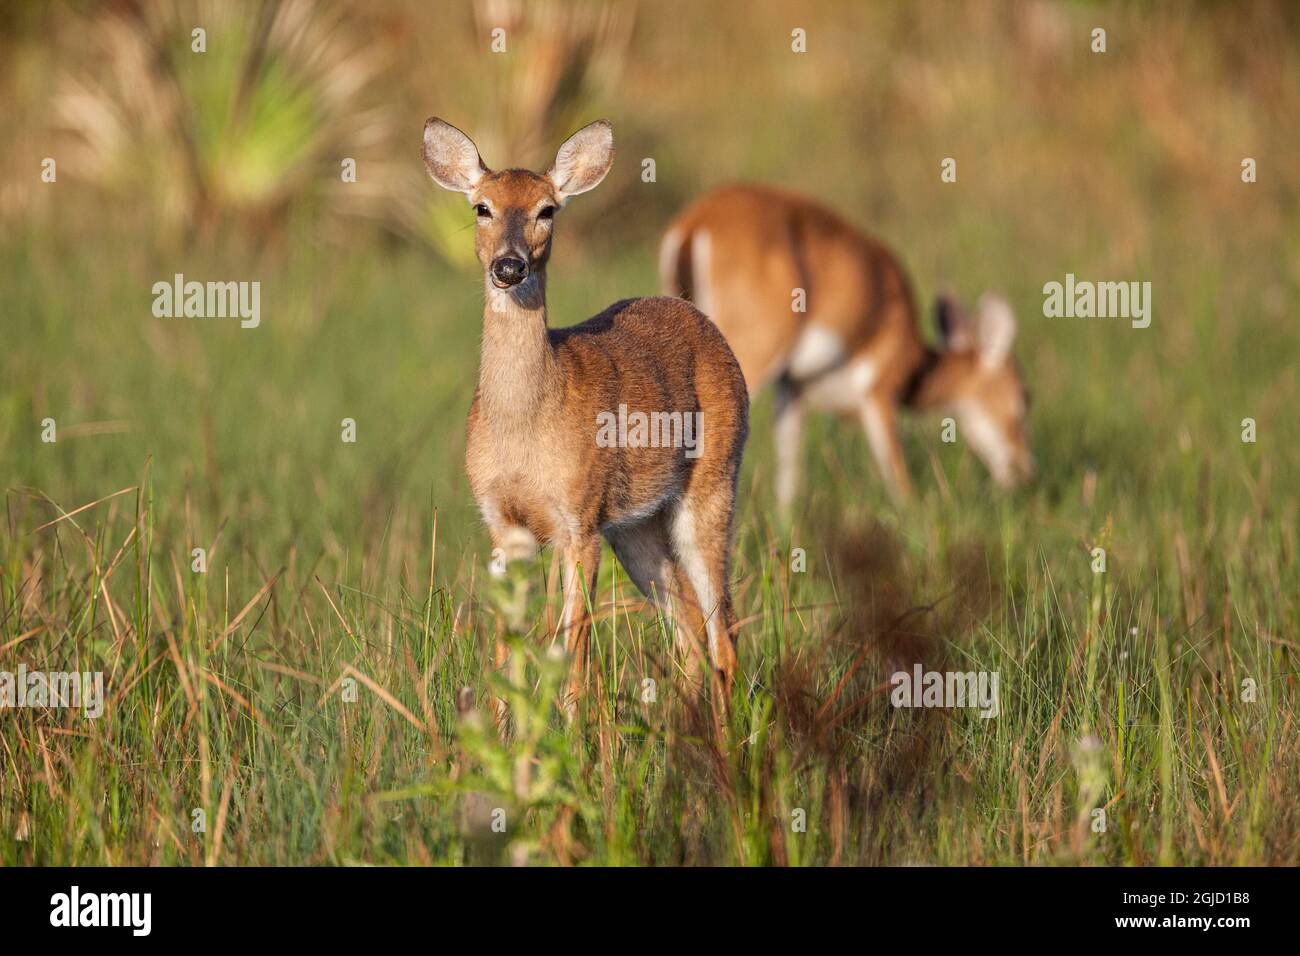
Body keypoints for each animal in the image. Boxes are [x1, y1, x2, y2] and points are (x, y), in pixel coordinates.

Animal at [421, 118, 749, 712]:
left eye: (547, 209)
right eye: (481, 207)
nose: (510, 265)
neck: (526, 423)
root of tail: (701, 318)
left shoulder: (580, 520)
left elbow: (573, 660)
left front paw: (575, 738)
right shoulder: (503, 525)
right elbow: (505, 658)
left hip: (713, 482)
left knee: (723, 633)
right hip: (637, 526)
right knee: (690, 627)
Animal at [659, 183, 1033, 514]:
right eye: (1023, 395)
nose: (1024, 470)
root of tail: (695, 223)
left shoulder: (791, 388)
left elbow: (788, 473)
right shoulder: (878, 393)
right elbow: (896, 472)